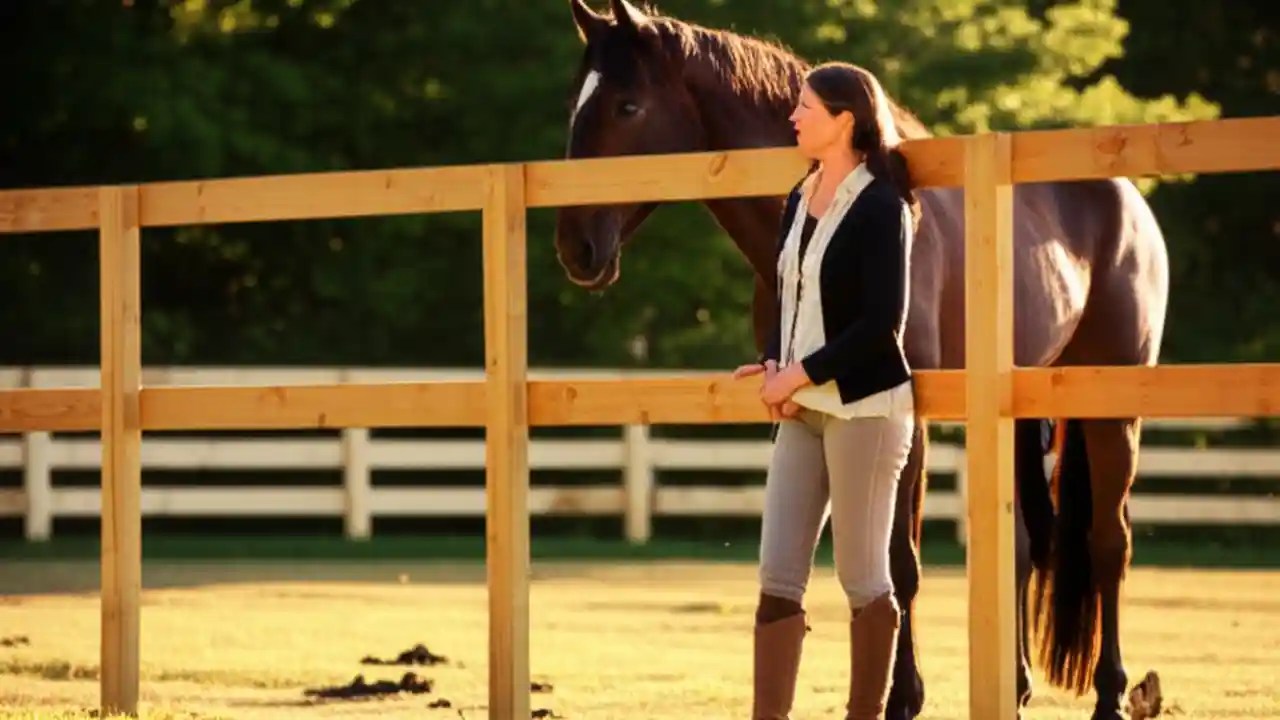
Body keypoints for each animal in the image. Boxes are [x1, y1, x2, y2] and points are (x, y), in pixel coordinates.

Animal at [554, 2, 1169, 719]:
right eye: (578, 102)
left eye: (626, 105)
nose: (576, 249)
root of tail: (1130, 203)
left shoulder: (909, 419)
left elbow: (898, 561)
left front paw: (903, 696)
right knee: (1022, 543)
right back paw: (1013, 686)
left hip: (1112, 410)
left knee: (1108, 543)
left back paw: (1111, 693)